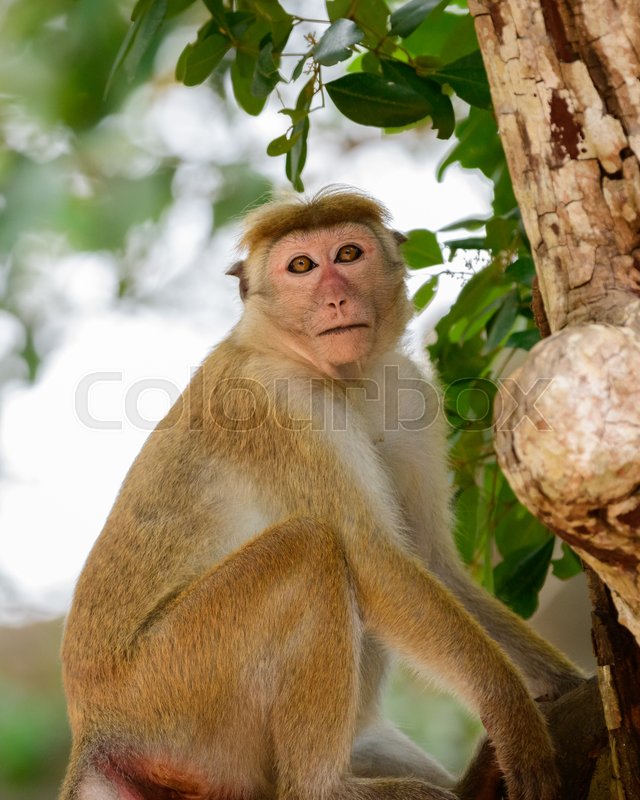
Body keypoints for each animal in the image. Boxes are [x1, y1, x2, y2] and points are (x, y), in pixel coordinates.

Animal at [60, 187, 584, 800]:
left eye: (348, 254)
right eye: (302, 267)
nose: (336, 298)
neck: (343, 379)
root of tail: (95, 732)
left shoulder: (409, 394)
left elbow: (433, 562)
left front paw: (570, 683)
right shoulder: (279, 406)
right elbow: (373, 561)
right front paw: (514, 715)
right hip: (174, 690)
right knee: (310, 549)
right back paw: (327, 786)